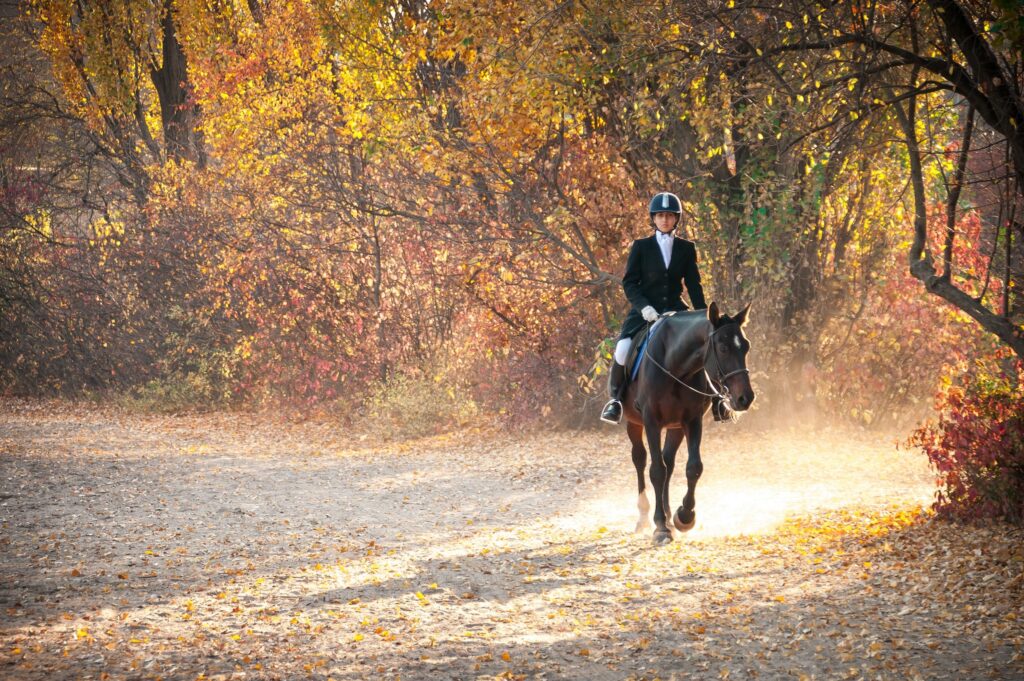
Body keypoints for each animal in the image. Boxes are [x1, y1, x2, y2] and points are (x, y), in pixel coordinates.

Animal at [621, 301, 755, 545]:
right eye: (723, 348)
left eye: (746, 347)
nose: (745, 398)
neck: (675, 367)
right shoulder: (651, 421)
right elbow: (656, 471)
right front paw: (660, 527)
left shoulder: (692, 421)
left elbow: (693, 468)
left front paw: (684, 516)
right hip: (633, 422)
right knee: (641, 460)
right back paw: (645, 517)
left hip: (675, 428)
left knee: (668, 462)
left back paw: (667, 515)